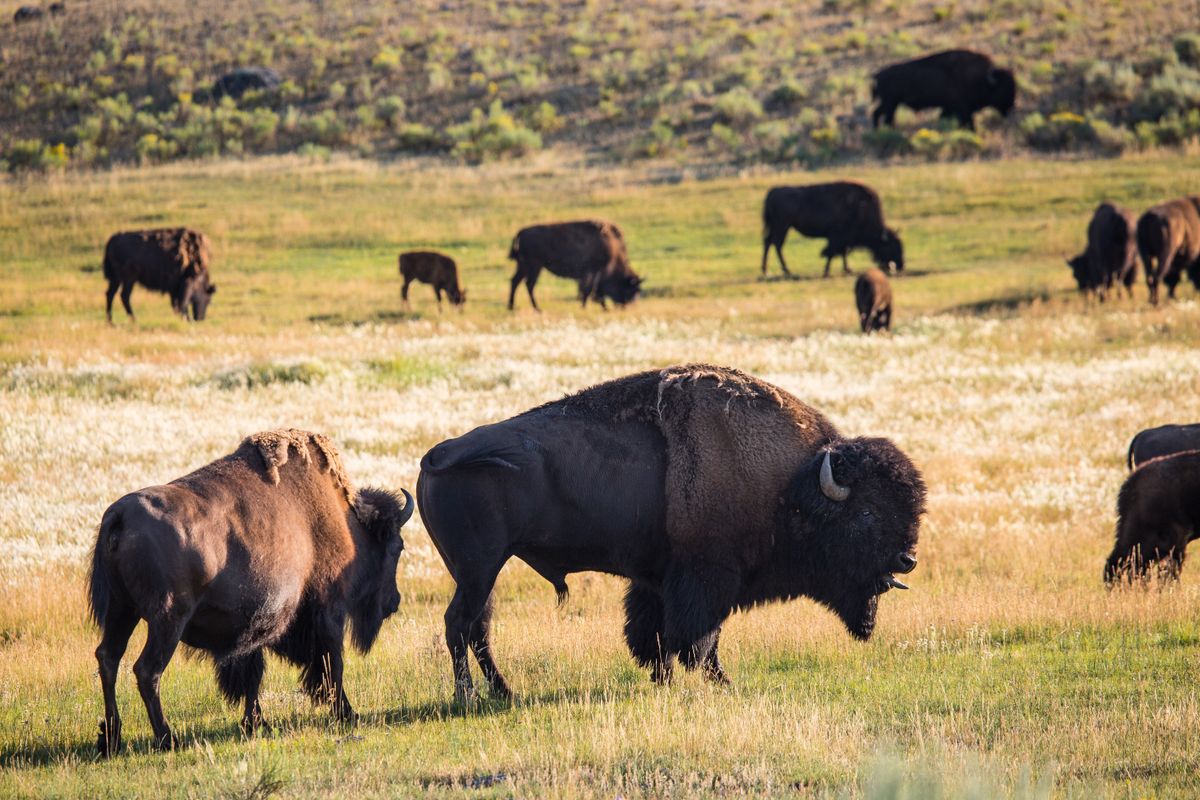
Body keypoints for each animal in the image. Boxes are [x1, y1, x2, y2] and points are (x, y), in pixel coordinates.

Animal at [88, 429, 414, 756]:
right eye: (397, 547)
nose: (394, 602)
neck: (346, 523)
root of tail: (119, 516)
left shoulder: (252, 628)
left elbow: (252, 674)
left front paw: (256, 723)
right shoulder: (327, 609)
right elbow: (332, 662)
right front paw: (347, 713)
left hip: (121, 611)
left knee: (108, 658)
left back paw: (111, 739)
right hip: (167, 620)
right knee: (147, 670)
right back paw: (168, 739)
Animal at [418, 364, 926, 701]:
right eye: (867, 514)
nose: (907, 559)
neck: (790, 484)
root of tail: (437, 454)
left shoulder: (659, 581)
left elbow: (653, 634)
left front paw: (661, 679)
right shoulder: (708, 578)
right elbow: (700, 639)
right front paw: (721, 682)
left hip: (481, 572)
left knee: (478, 627)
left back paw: (503, 692)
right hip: (479, 569)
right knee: (459, 624)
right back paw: (468, 696)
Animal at [507, 220, 642, 311]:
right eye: (632, 289)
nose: (627, 306)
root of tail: (521, 233)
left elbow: (590, 289)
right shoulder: (593, 271)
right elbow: (589, 289)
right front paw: (586, 307)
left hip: (524, 266)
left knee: (515, 281)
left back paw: (512, 307)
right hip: (534, 267)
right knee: (529, 285)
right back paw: (537, 309)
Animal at [762, 182, 903, 278]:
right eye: (892, 246)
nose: (900, 266)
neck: (861, 208)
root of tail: (773, 191)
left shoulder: (842, 239)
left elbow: (842, 253)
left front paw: (847, 269)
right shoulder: (836, 236)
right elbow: (832, 252)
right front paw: (826, 272)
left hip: (777, 227)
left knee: (768, 242)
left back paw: (766, 270)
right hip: (783, 226)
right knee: (777, 244)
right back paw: (787, 270)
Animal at [871, 49, 1016, 131]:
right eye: (1004, 87)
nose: (1011, 106)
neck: (981, 79)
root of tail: (878, 74)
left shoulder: (950, 109)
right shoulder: (963, 110)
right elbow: (969, 124)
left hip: (890, 103)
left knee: (877, 113)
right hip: (890, 103)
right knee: (887, 118)